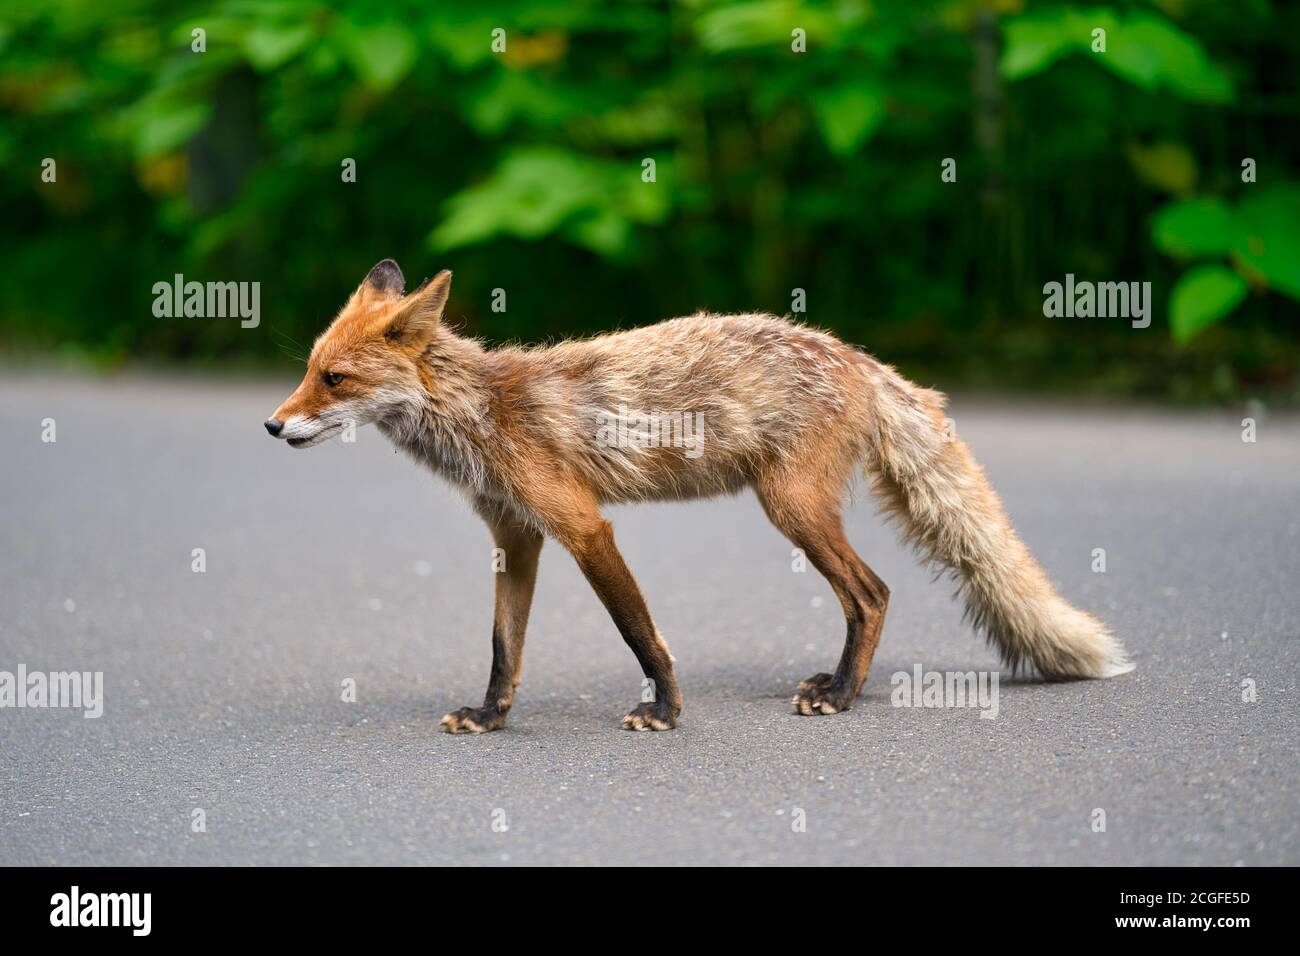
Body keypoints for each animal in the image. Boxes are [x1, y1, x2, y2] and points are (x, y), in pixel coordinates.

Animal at [266, 259, 1133, 733]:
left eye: (334, 379)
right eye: (308, 369)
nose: (272, 425)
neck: (484, 414)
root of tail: (860, 357)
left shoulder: (585, 528)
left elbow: (641, 634)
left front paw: (665, 712)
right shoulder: (518, 536)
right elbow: (503, 649)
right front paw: (490, 717)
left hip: (791, 507)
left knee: (874, 592)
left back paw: (843, 695)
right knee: (872, 594)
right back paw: (835, 684)